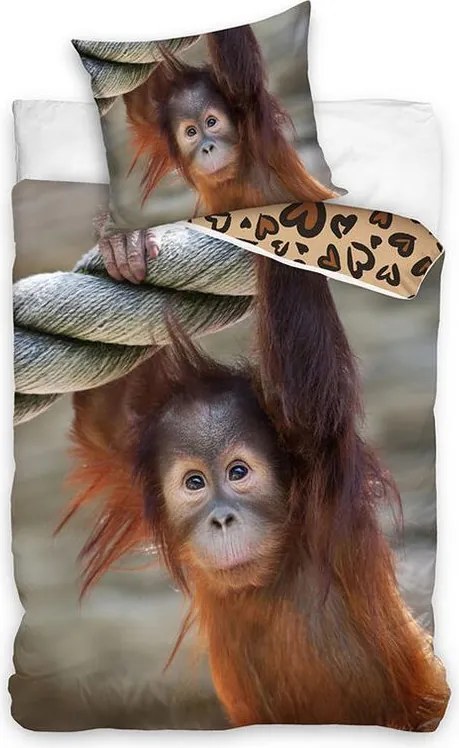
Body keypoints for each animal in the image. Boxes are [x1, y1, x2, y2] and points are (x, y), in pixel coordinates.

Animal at [59, 298, 450, 730]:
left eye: (238, 472)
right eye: (195, 482)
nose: (222, 518)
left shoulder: (319, 464)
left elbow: (304, 385)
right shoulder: (127, 452)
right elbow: (102, 410)